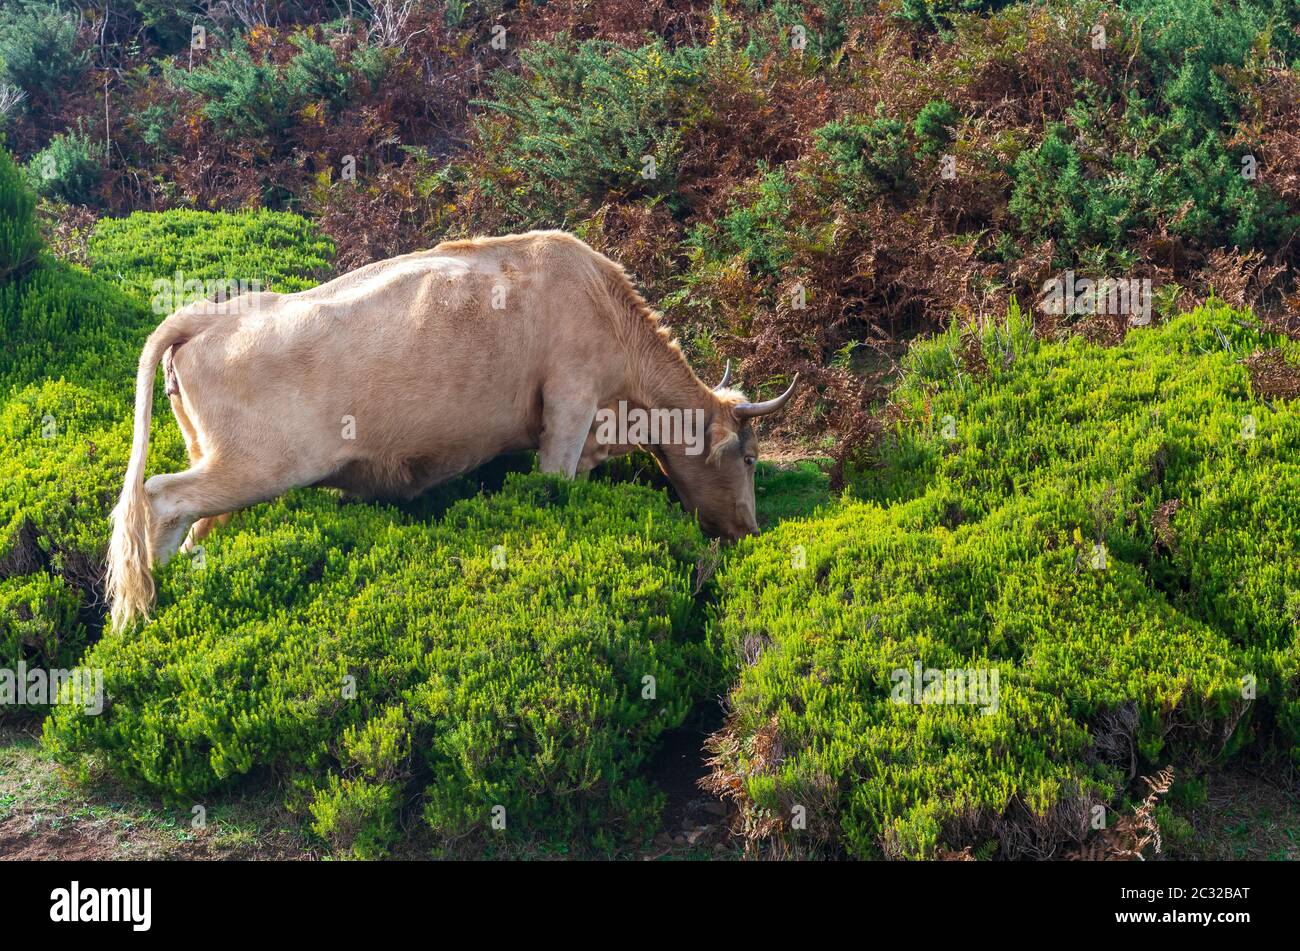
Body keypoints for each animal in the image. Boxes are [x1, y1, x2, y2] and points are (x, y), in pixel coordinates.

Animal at [105, 230, 798, 629]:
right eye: (749, 459)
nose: (750, 529)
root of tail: (209, 313)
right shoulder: (570, 407)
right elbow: (555, 482)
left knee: (190, 527)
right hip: (253, 465)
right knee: (159, 500)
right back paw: (144, 612)